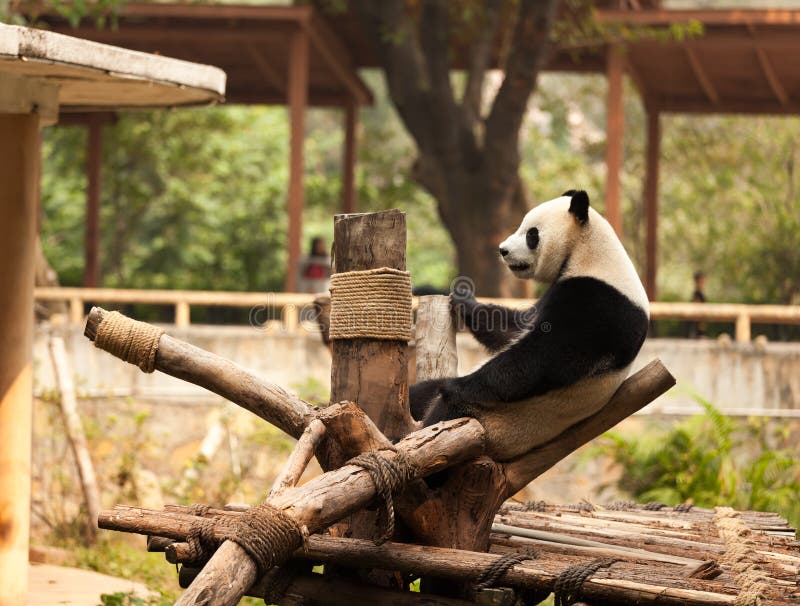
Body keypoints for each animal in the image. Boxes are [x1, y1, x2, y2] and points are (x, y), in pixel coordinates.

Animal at [410, 190, 649, 461]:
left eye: (531, 234)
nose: (502, 250)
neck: (591, 253)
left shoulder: (601, 303)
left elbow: (545, 356)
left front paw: (456, 386)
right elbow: (515, 329)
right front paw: (463, 298)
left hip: (495, 422)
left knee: (446, 411)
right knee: (419, 393)